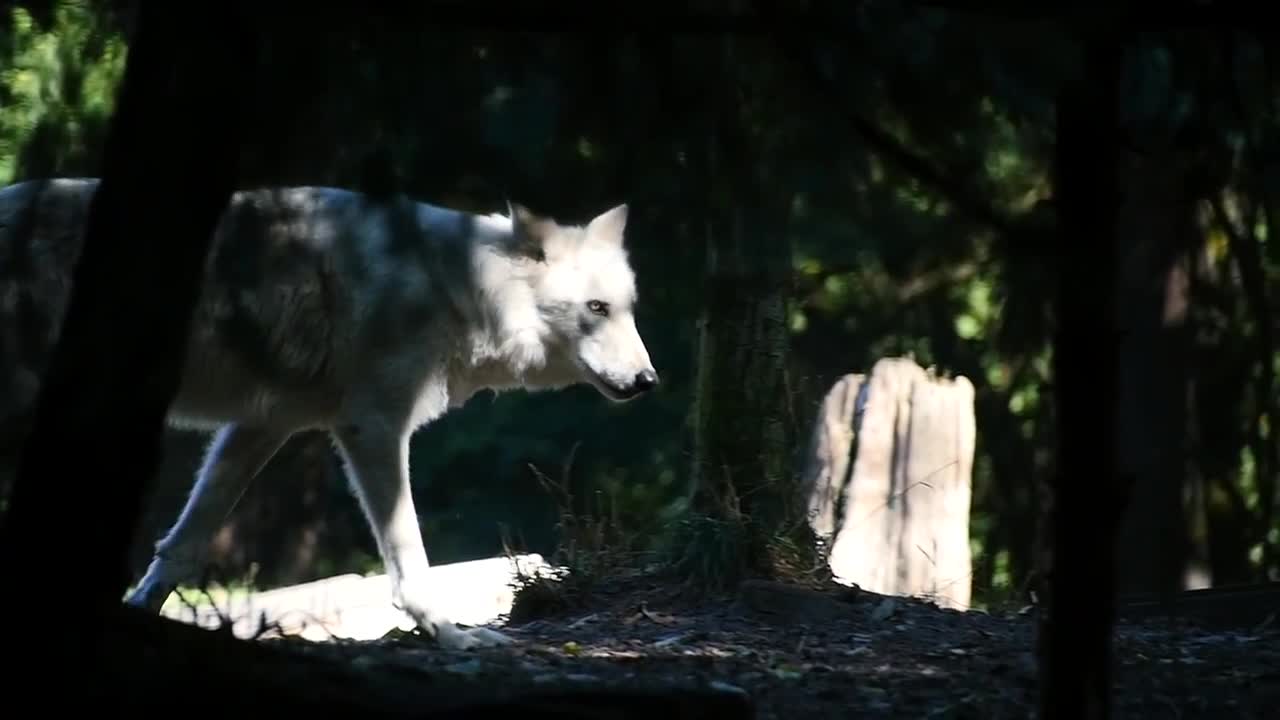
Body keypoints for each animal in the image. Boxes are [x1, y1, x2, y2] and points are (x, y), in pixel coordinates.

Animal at [0, 177, 659, 650]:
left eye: (628, 308)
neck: (459, 288)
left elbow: (185, 542)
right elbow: (409, 555)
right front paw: (449, 635)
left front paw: (139, 611)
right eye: (595, 309)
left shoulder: (263, 425)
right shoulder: (373, 429)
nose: (649, 382)